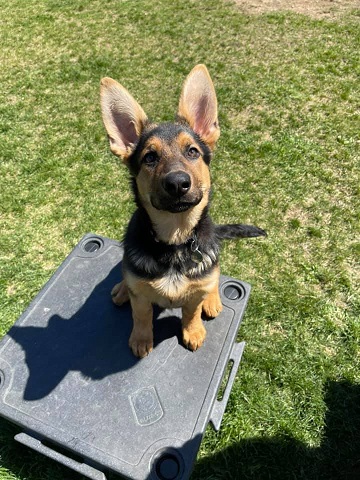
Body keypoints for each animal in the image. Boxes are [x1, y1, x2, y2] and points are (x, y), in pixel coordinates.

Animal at [100, 64, 266, 356]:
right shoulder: (141, 296)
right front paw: (141, 339)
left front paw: (193, 331)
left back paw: (212, 299)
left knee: (214, 275)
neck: (174, 239)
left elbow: (192, 310)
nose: (177, 183)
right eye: (150, 157)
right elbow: (141, 314)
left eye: (192, 152)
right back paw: (121, 289)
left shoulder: (195, 290)